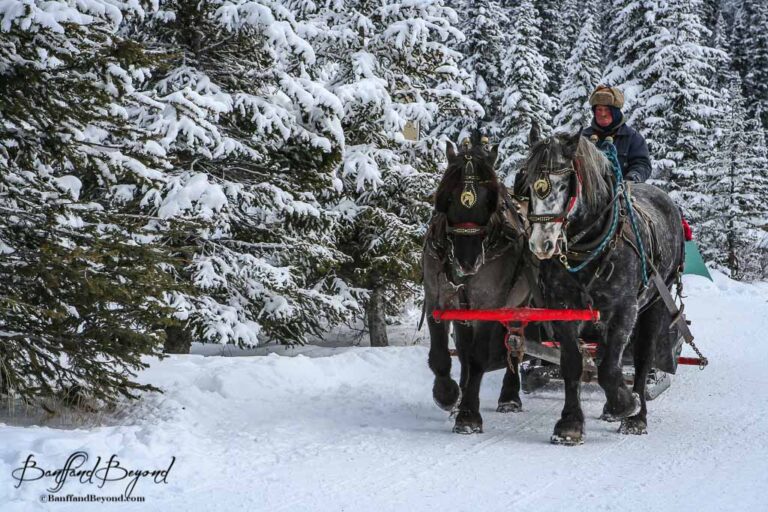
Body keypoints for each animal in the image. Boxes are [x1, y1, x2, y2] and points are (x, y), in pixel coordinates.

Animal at [422, 135, 531, 434]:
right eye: (447, 197)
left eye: (489, 201)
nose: (467, 261)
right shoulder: (436, 296)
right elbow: (440, 355)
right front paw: (448, 395)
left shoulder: (489, 303)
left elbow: (479, 357)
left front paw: (469, 415)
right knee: (463, 349)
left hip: (519, 304)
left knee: (514, 345)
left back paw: (509, 396)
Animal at [521, 123, 684, 444]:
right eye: (529, 182)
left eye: (564, 185)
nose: (541, 243)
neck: (590, 248)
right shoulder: (564, 308)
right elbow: (573, 363)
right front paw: (570, 424)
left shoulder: (624, 310)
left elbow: (610, 367)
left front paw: (626, 404)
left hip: (655, 305)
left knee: (643, 360)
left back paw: (636, 416)